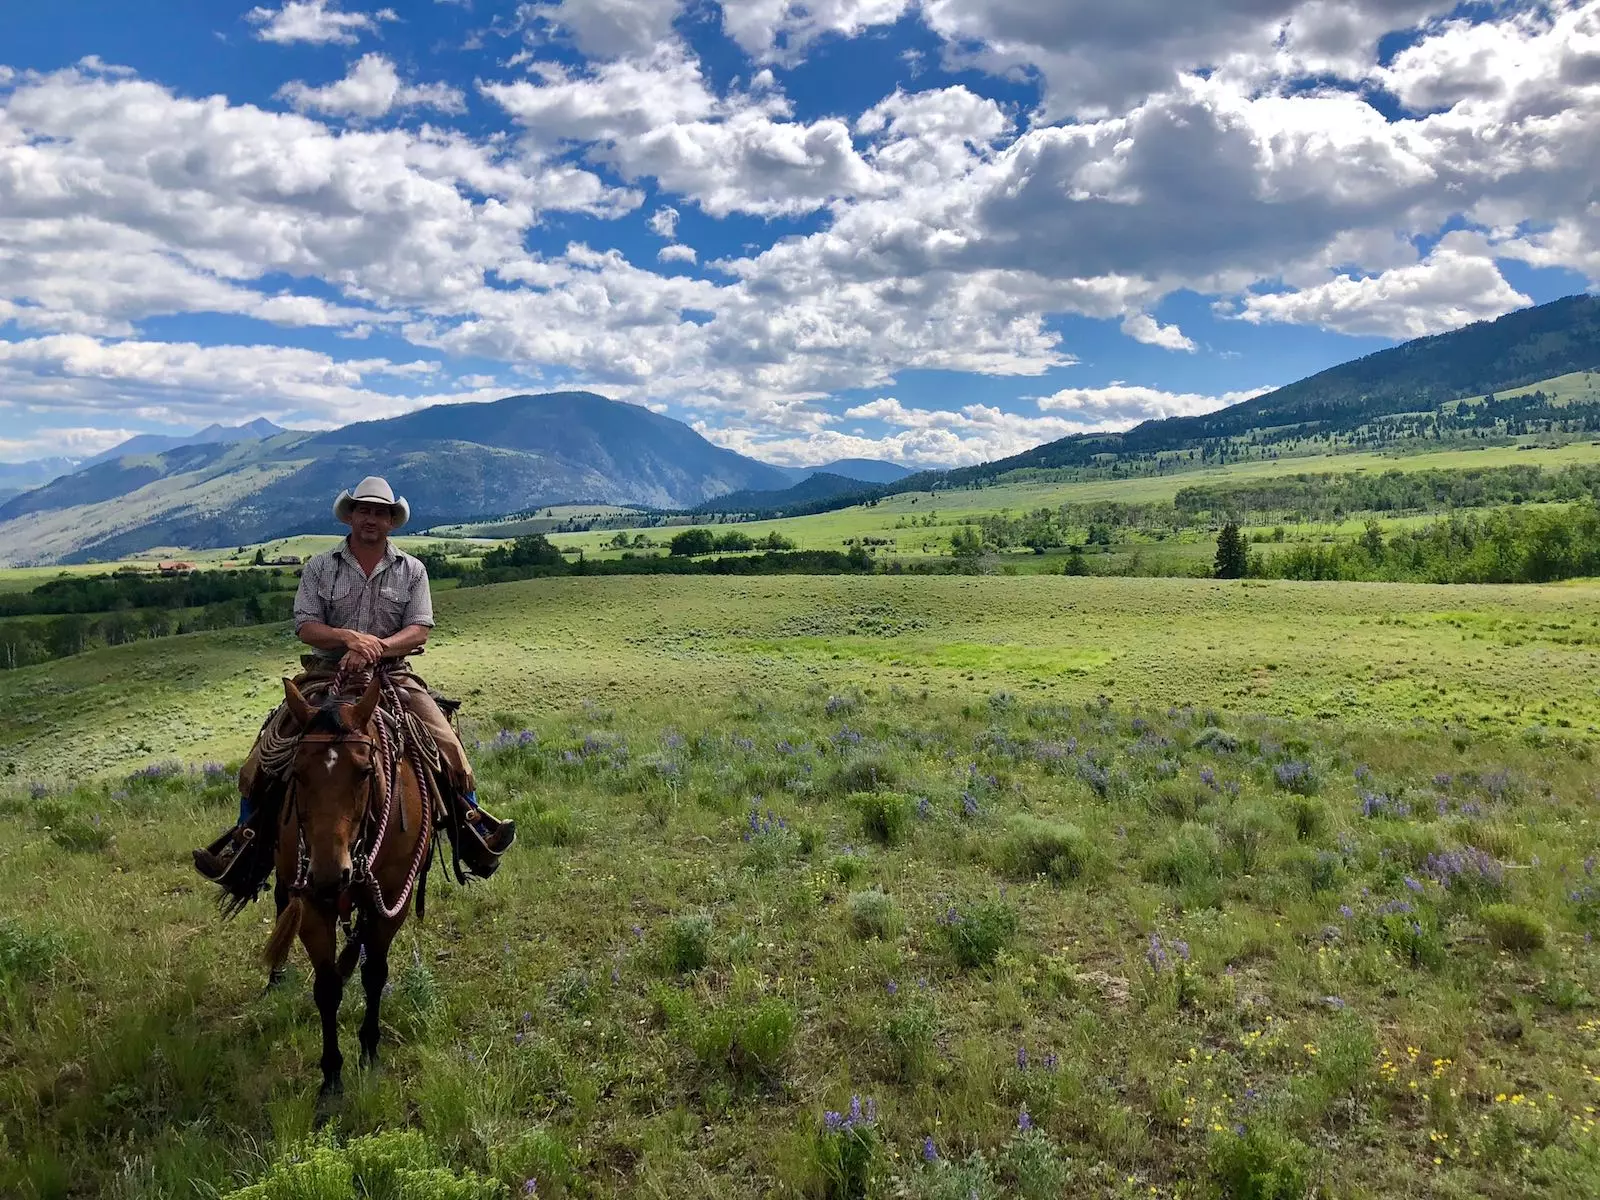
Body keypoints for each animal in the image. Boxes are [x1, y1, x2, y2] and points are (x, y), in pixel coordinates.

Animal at [264, 678, 435, 1100]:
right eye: (297, 773)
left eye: (364, 771)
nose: (329, 874)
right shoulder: (311, 905)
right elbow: (327, 988)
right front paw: (331, 1077)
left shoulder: (391, 900)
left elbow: (374, 973)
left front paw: (369, 1050)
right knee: (279, 901)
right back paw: (276, 976)